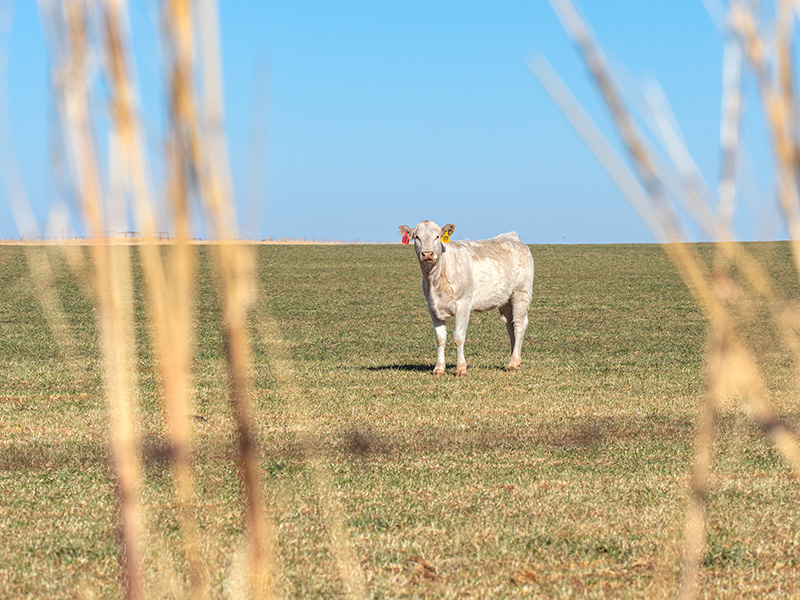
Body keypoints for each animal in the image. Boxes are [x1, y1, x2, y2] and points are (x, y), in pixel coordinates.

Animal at [398, 220, 534, 376]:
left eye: (437, 236)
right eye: (417, 237)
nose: (427, 254)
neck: (436, 279)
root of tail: (513, 237)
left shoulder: (463, 303)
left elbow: (458, 337)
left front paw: (461, 368)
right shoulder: (432, 307)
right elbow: (440, 338)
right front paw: (438, 368)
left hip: (521, 292)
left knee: (519, 325)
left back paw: (513, 363)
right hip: (505, 300)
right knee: (510, 325)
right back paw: (515, 359)